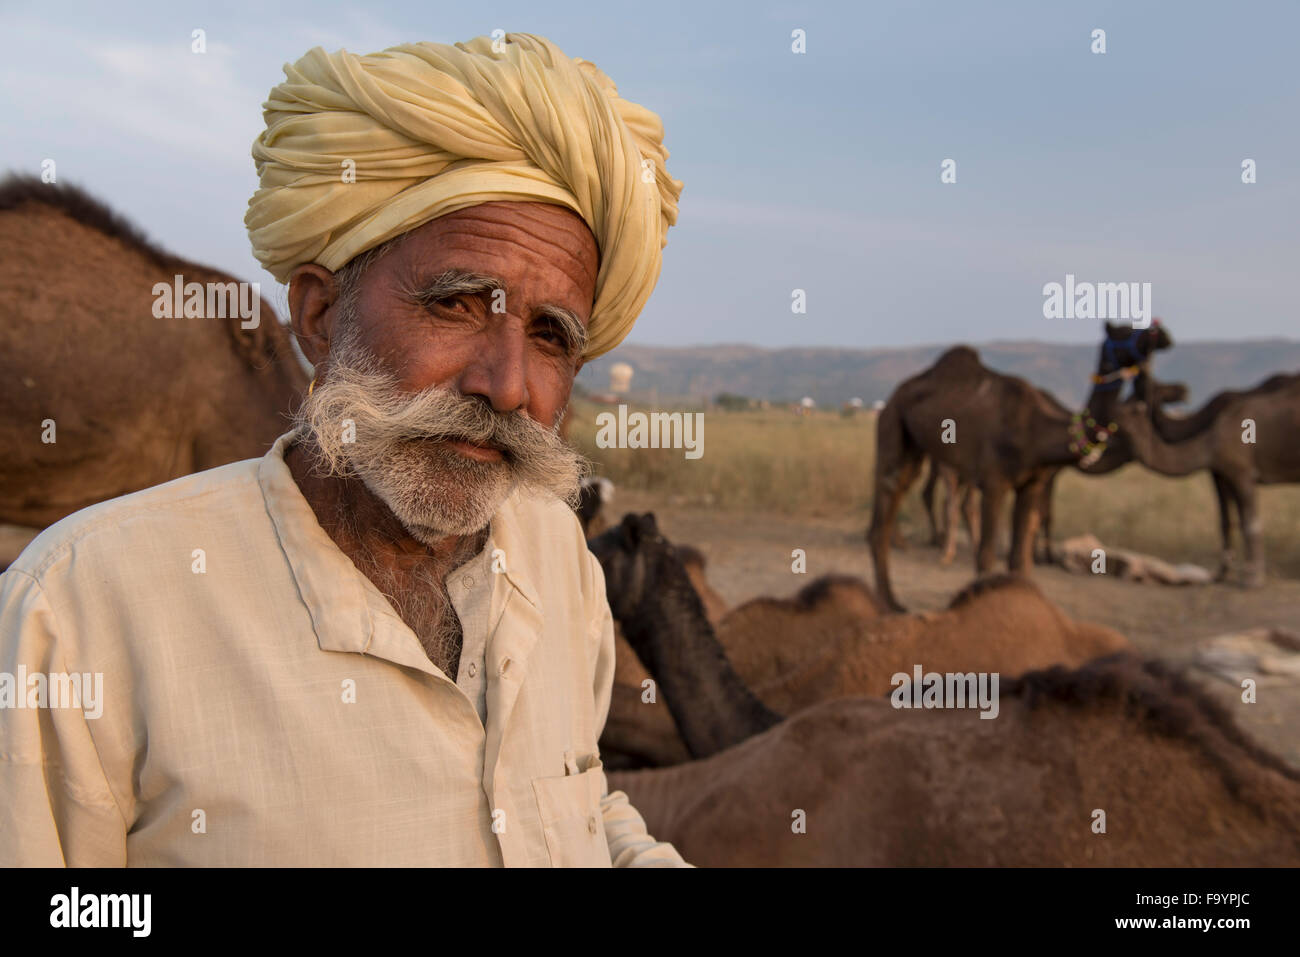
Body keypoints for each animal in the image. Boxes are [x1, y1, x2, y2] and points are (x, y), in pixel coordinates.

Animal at [868, 323, 1174, 611]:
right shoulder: (994, 482)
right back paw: (889, 602)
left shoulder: (1031, 484)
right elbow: (987, 556)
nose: (1163, 335)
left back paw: (893, 599)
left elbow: (1018, 558)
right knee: (885, 509)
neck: (1035, 430)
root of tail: (892, 398)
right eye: (1126, 331)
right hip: (892, 424)